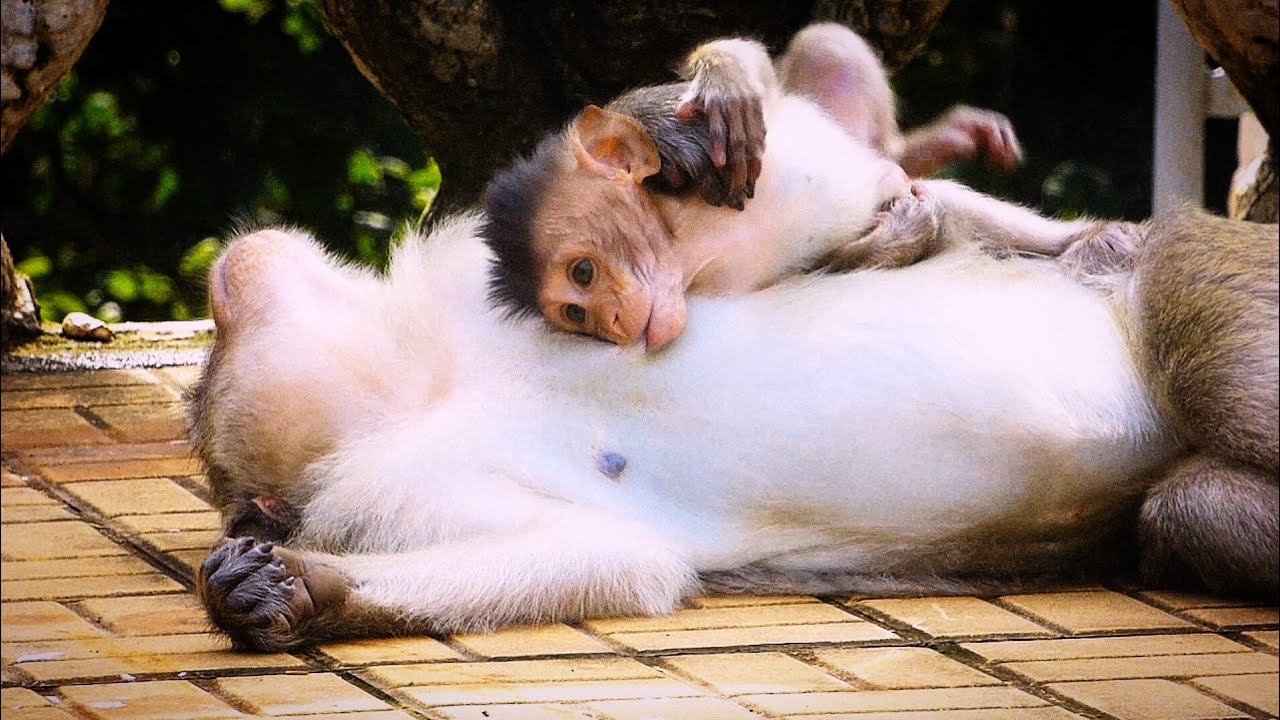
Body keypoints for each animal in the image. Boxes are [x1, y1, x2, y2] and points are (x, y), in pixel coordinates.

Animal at [186, 195, 1276, 651]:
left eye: (217, 342)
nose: (230, 273)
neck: (439, 377)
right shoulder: (393, 485)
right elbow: (609, 557)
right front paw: (306, 592)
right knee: (1186, 501)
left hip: (1208, 272)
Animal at [482, 24, 1102, 351]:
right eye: (576, 315)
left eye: (584, 273)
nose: (611, 324)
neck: (683, 244)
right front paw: (893, 238)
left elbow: (754, 83)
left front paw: (722, 77)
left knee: (830, 47)